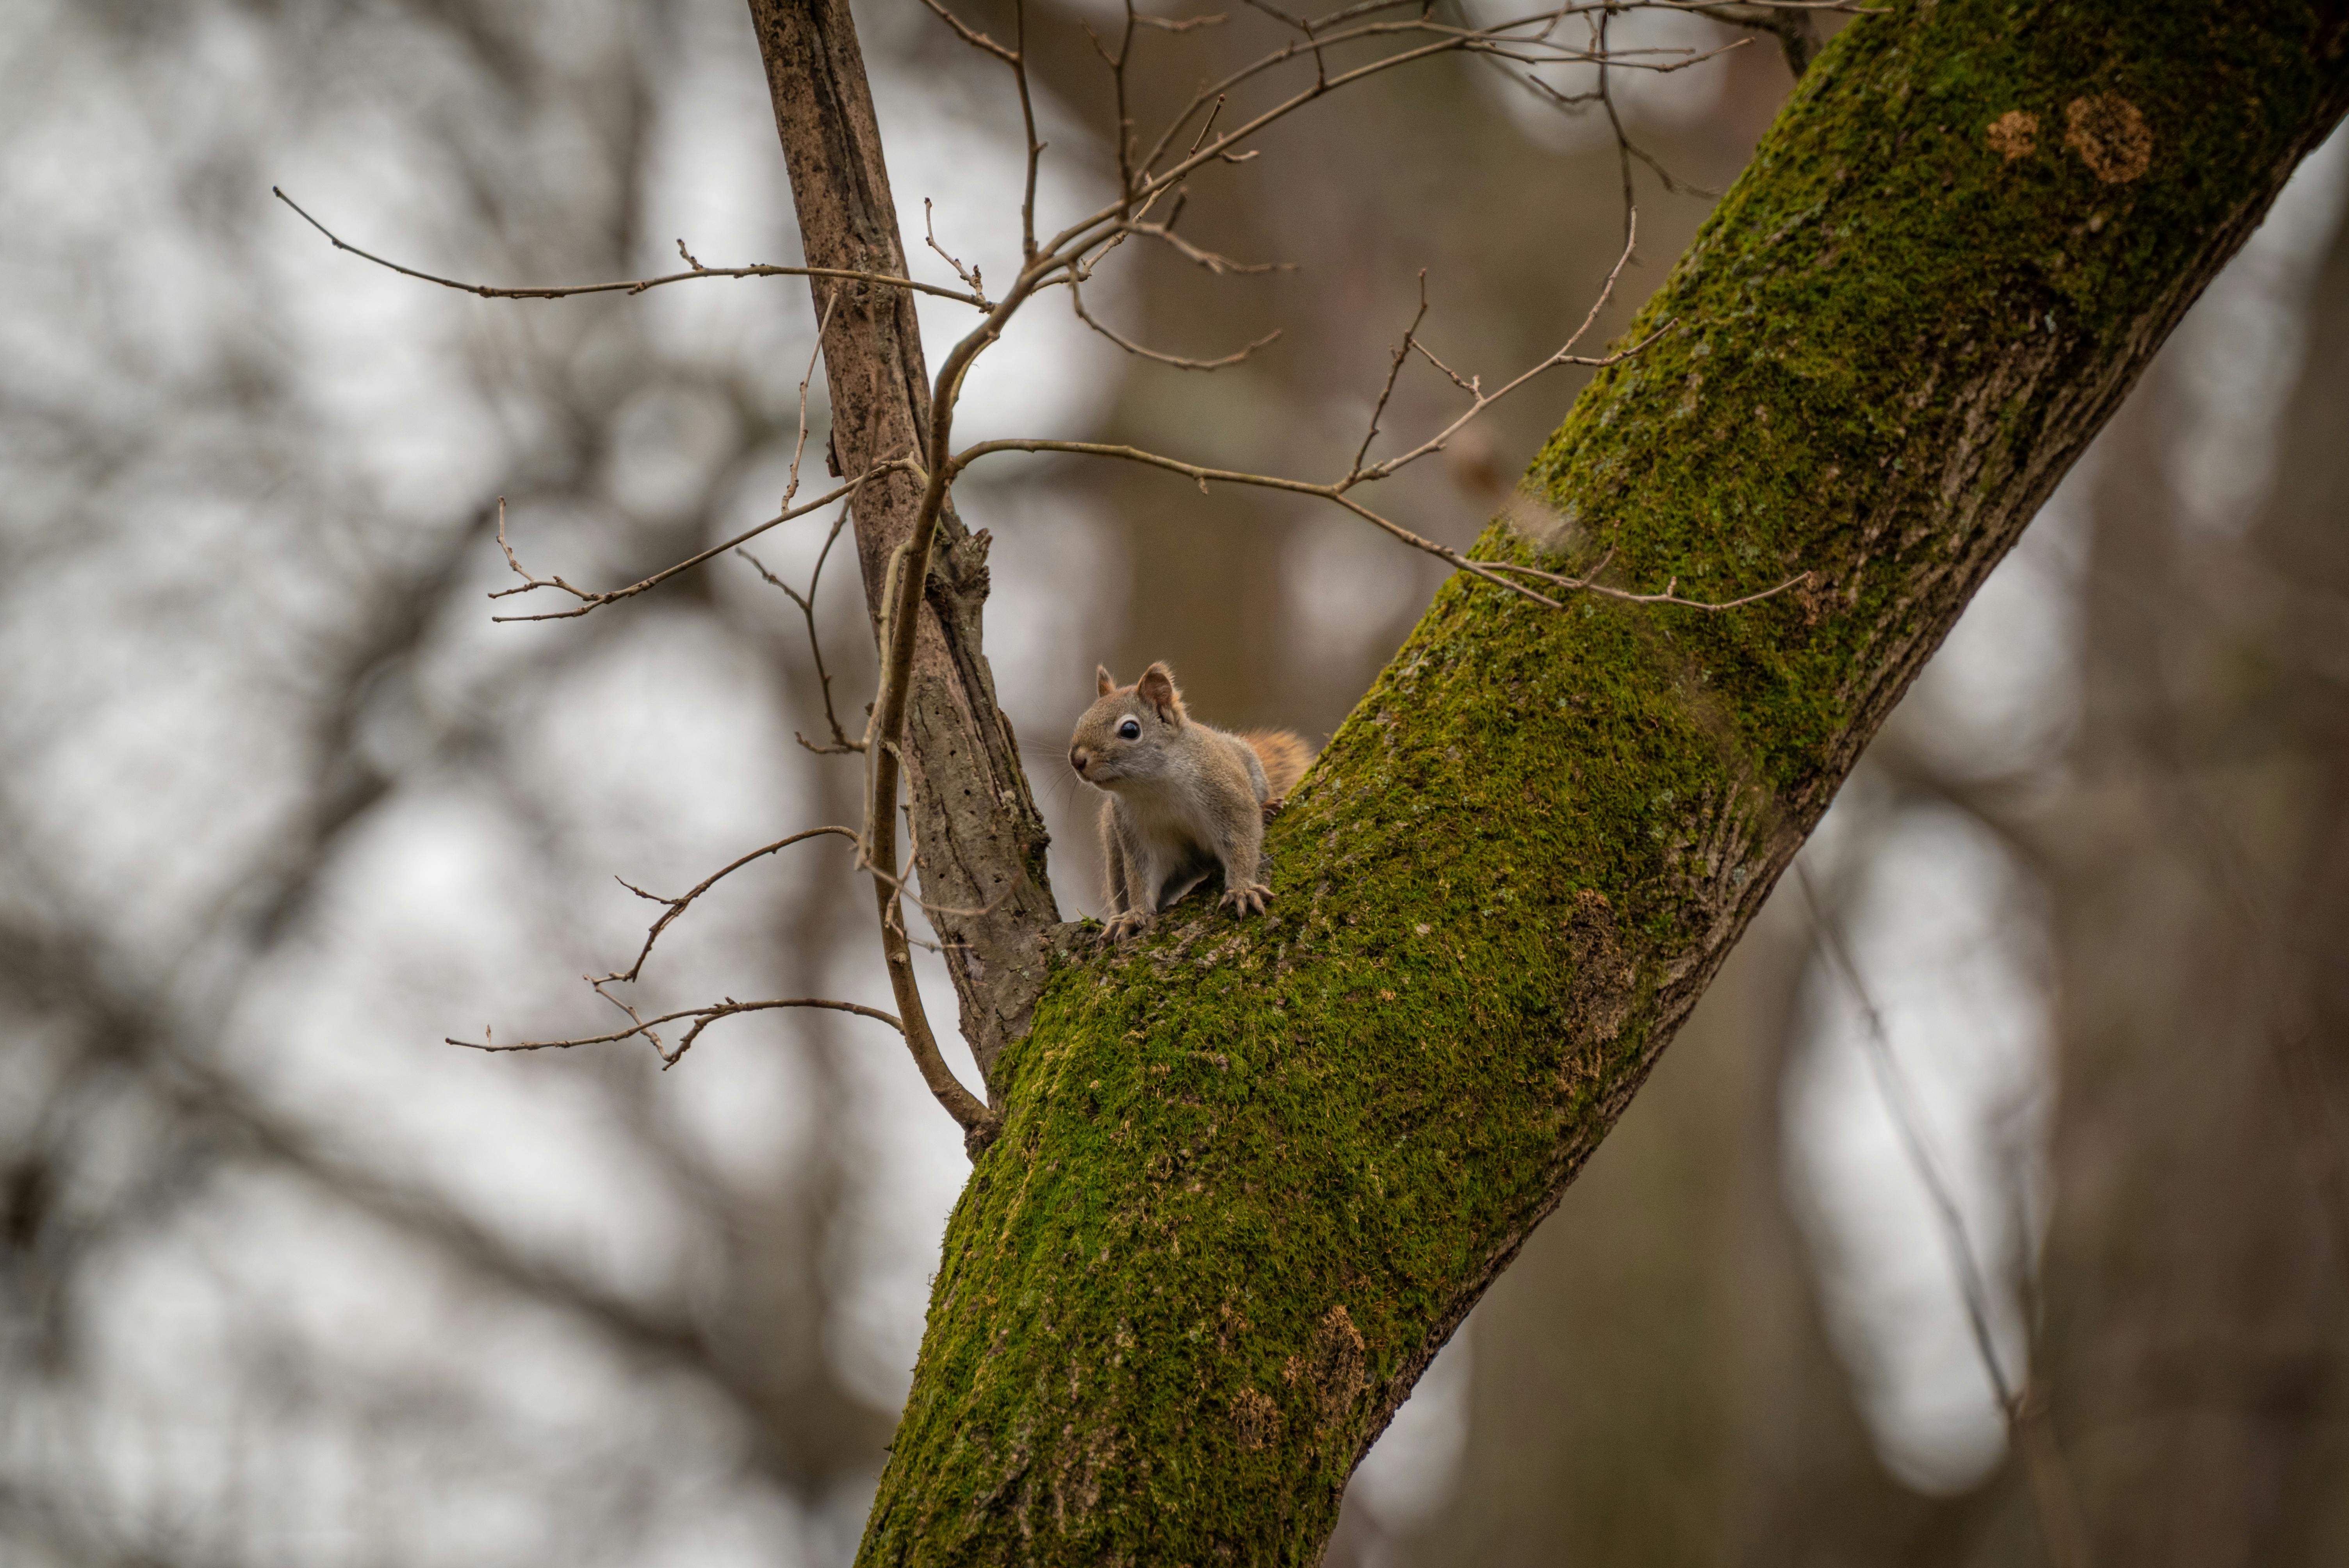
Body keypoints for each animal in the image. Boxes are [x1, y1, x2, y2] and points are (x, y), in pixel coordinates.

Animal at [1068, 662, 1315, 943]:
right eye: (1082, 720)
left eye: (1130, 730)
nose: (1076, 759)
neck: (1155, 787)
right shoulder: (1135, 834)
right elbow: (1140, 877)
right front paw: (1135, 914)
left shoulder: (1228, 798)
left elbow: (1242, 844)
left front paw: (1242, 889)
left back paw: (1267, 808)